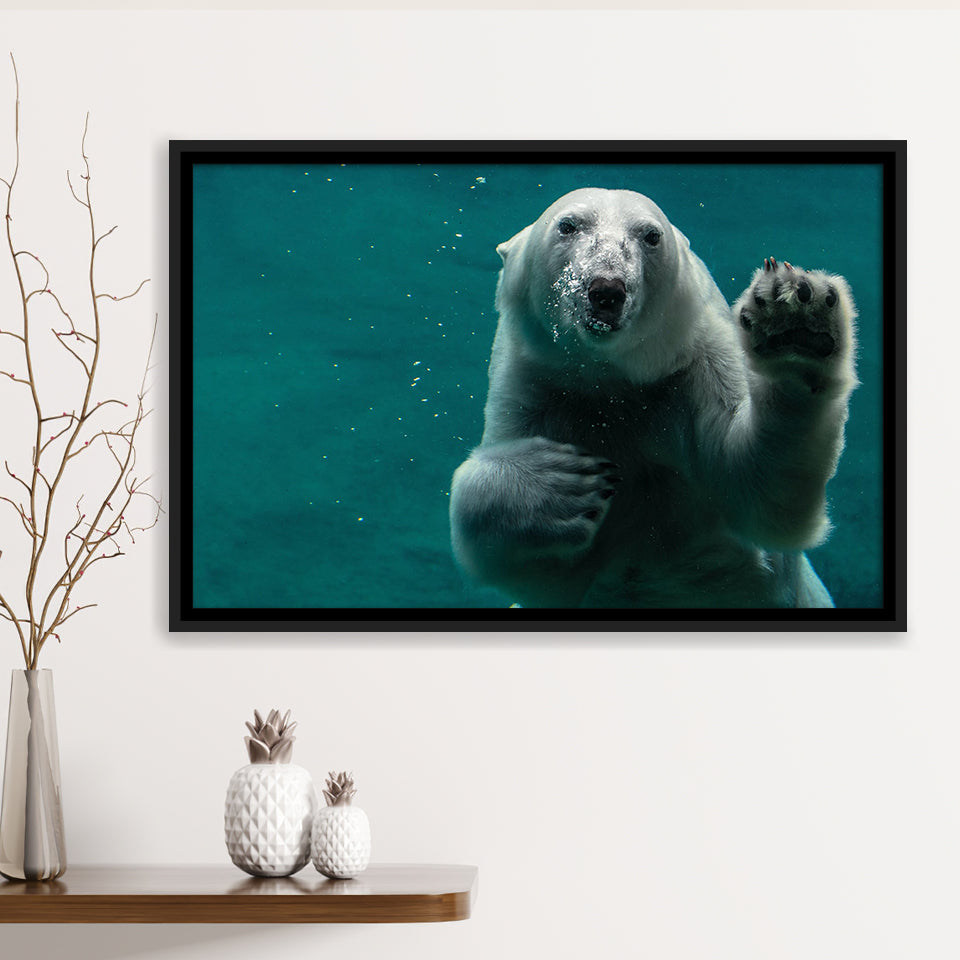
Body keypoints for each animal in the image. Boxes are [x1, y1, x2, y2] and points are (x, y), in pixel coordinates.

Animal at [448, 187, 858, 609]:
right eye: (568, 225)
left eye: (651, 235)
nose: (606, 289)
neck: (613, 378)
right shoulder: (537, 383)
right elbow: (531, 566)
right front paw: (564, 483)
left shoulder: (696, 364)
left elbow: (759, 488)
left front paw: (795, 323)